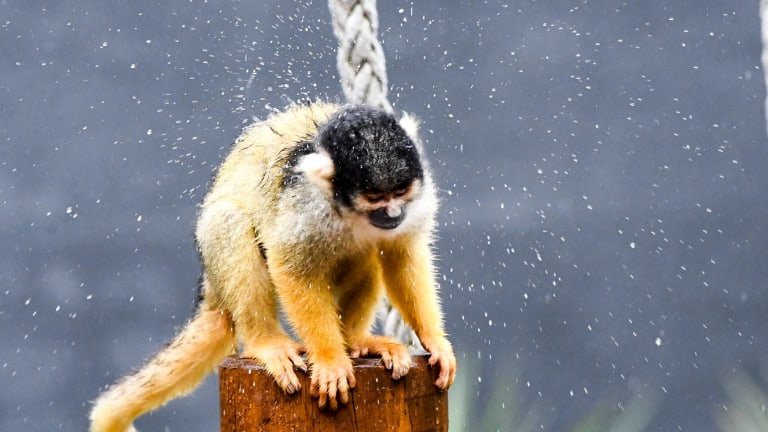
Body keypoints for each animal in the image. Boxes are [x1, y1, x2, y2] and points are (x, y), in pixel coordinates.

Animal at [89, 102, 457, 432]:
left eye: (400, 191)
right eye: (375, 198)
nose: (394, 214)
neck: (345, 209)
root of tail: (211, 288)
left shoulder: (418, 199)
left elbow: (402, 254)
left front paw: (434, 340)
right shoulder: (306, 203)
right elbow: (291, 266)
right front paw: (329, 359)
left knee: (369, 250)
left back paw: (354, 340)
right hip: (214, 257)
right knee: (231, 221)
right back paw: (266, 341)